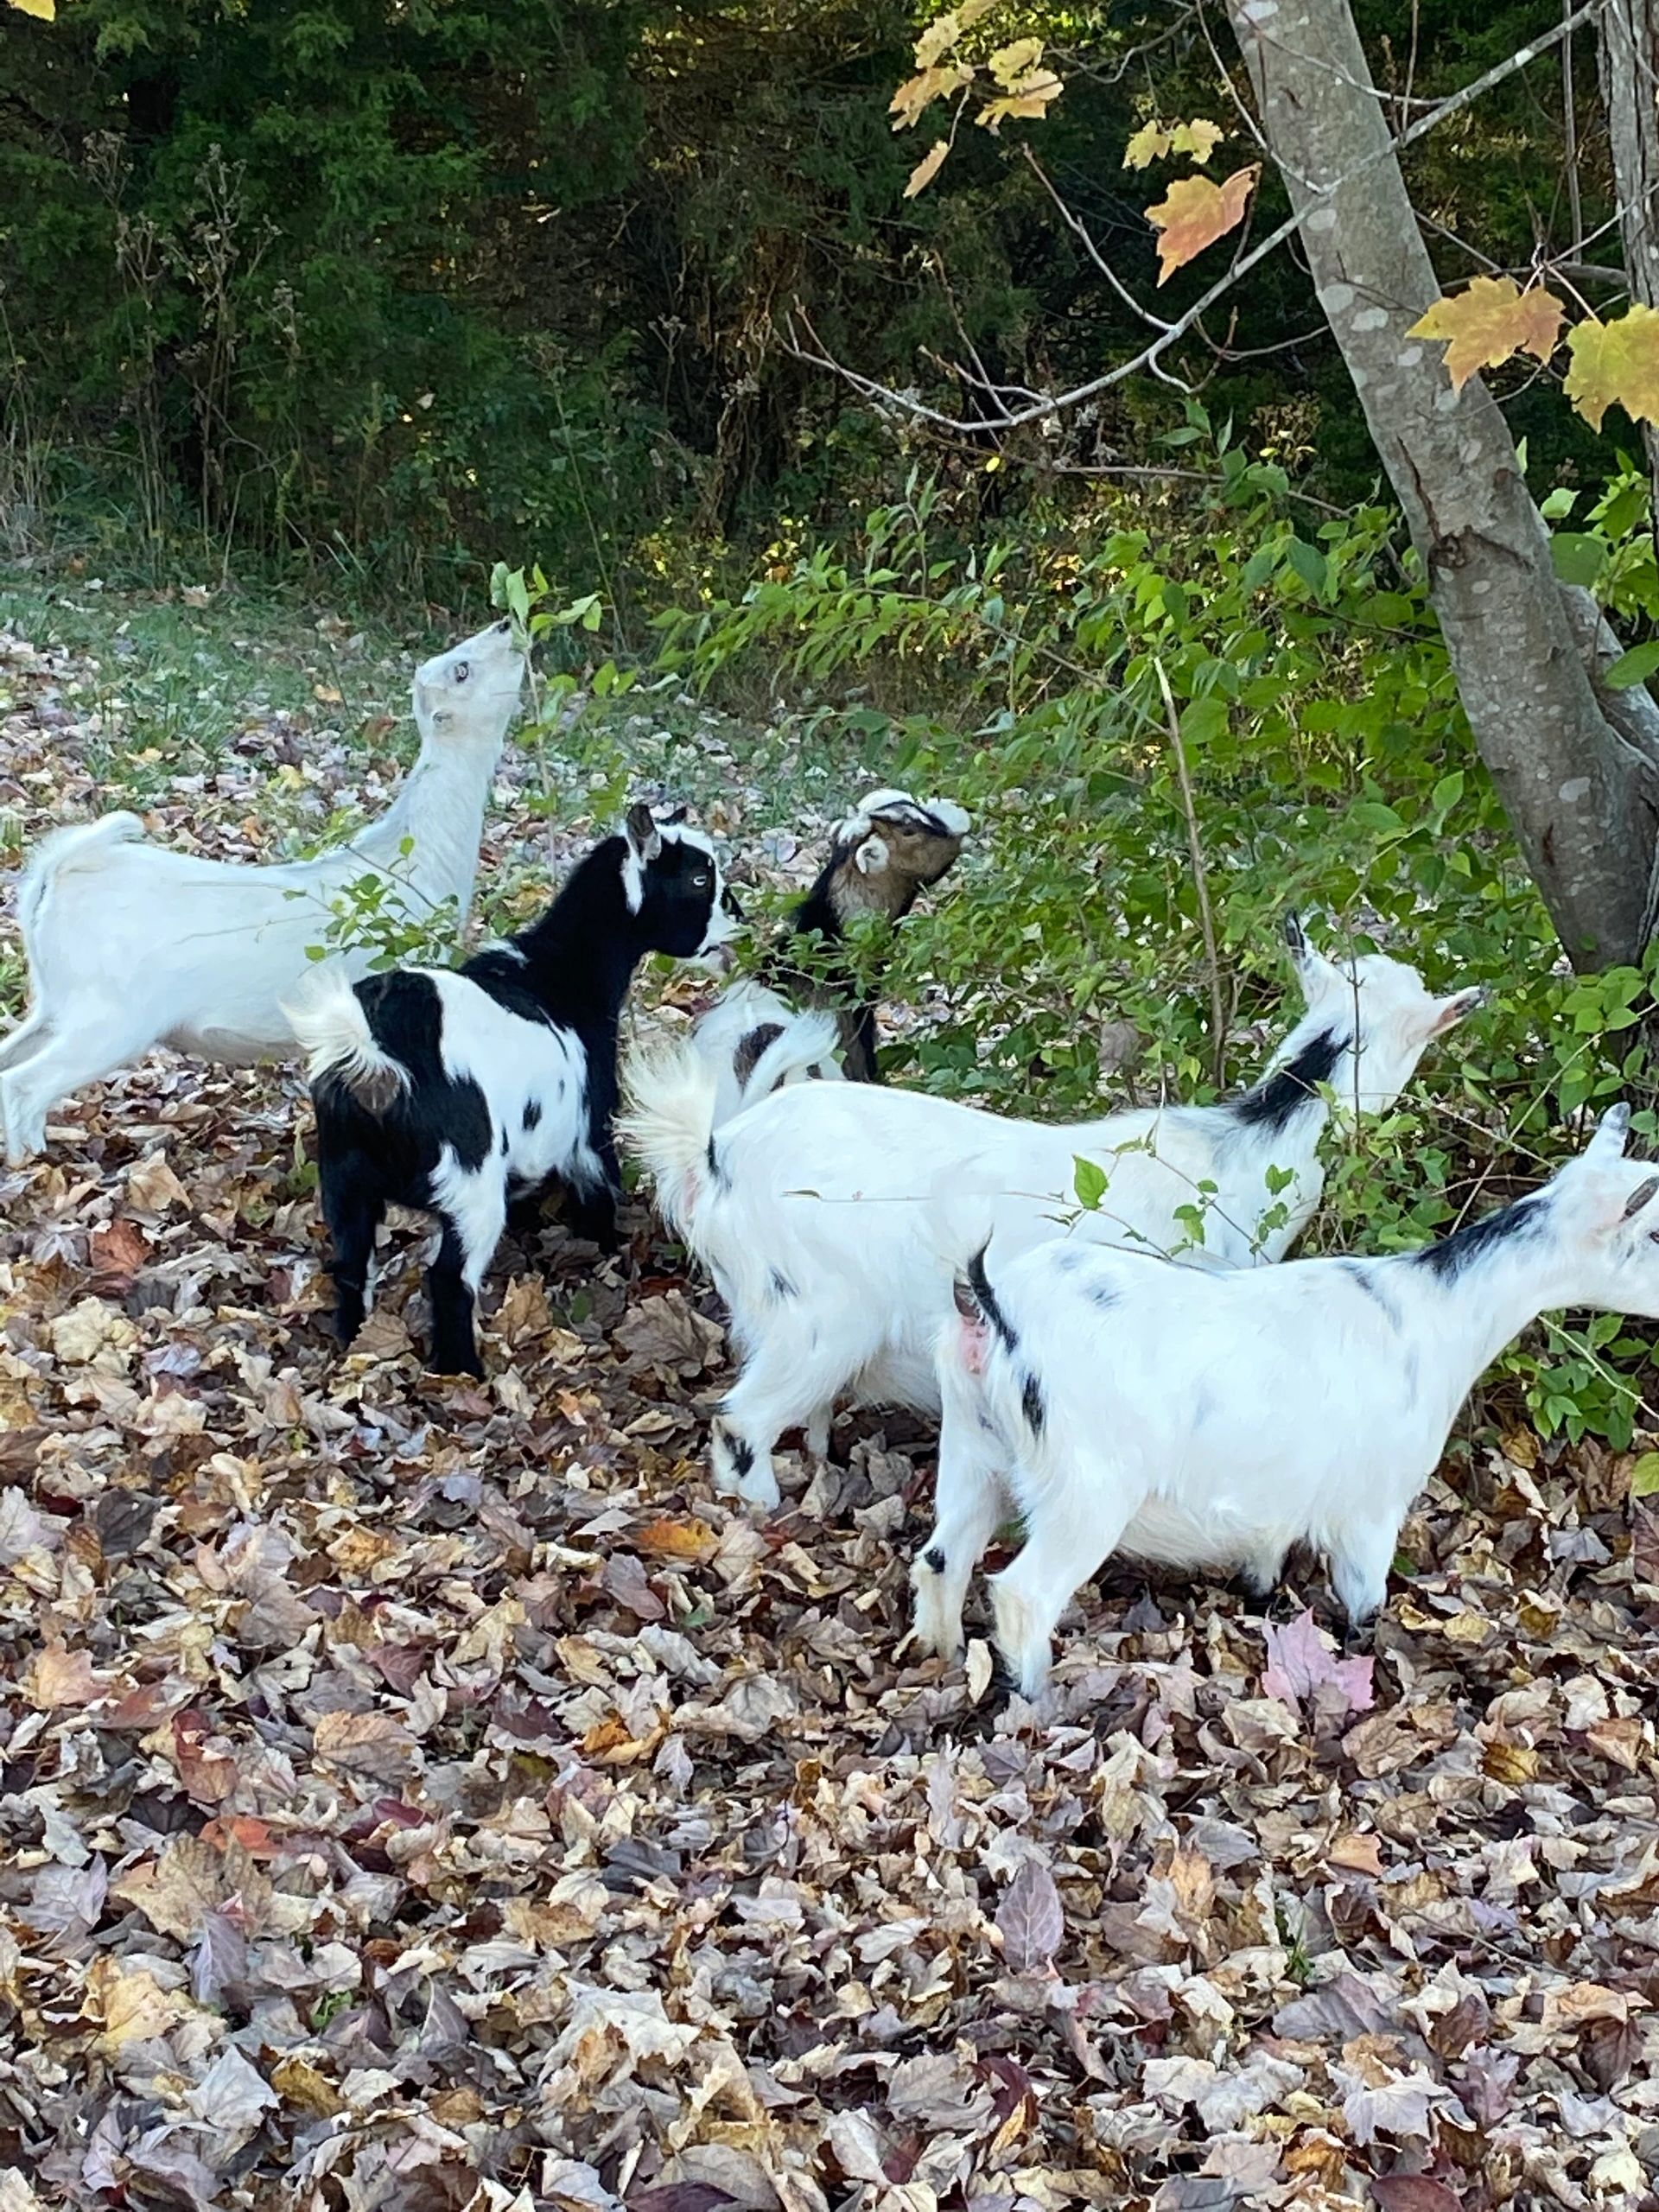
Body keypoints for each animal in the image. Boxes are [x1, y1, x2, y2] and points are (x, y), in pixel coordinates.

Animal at [0, 619, 523, 1163]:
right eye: (461, 670)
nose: (507, 624)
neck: (423, 863)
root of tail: (57, 873)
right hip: (112, 1014)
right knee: (22, 1084)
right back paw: (29, 1160)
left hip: (57, 999)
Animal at [285, 804, 735, 1378]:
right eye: (700, 879)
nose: (738, 913)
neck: (558, 975)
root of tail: (378, 1046)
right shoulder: (587, 1128)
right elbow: (599, 1195)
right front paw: (609, 1254)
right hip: (468, 1182)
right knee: (449, 1280)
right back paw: (461, 1373)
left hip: (343, 1176)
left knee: (349, 1265)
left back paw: (352, 1345)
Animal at [921, 1104, 1659, 1697]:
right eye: (1652, 1233)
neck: (1435, 1313)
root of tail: (993, 1309)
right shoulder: (1372, 1506)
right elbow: (1364, 1608)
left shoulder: (1271, 1505)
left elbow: (1263, 1577)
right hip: (1087, 1488)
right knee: (1024, 1593)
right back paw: (1036, 1699)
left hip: (972, 1445)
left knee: (940, 1558)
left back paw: (942, 1657)